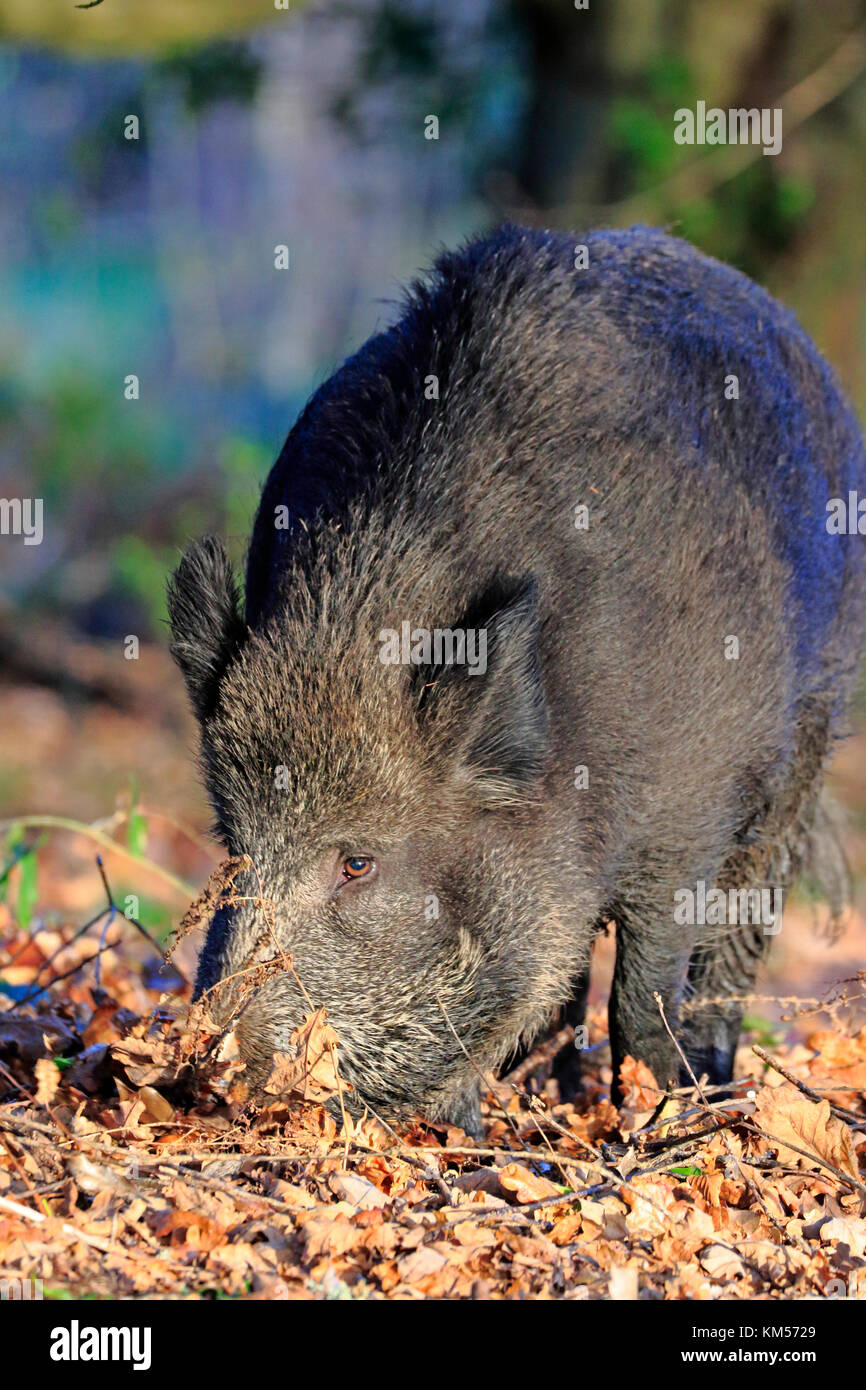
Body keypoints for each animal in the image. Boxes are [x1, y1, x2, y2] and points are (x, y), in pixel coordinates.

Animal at [168, 224, 866, 1135]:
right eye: (232, 842)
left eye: (357, 862)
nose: (203, 1064)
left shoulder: (685, 824)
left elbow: (644, 994)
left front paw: (652, 1121)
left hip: (807, 739)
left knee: (734, 944)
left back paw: (708, 1091)